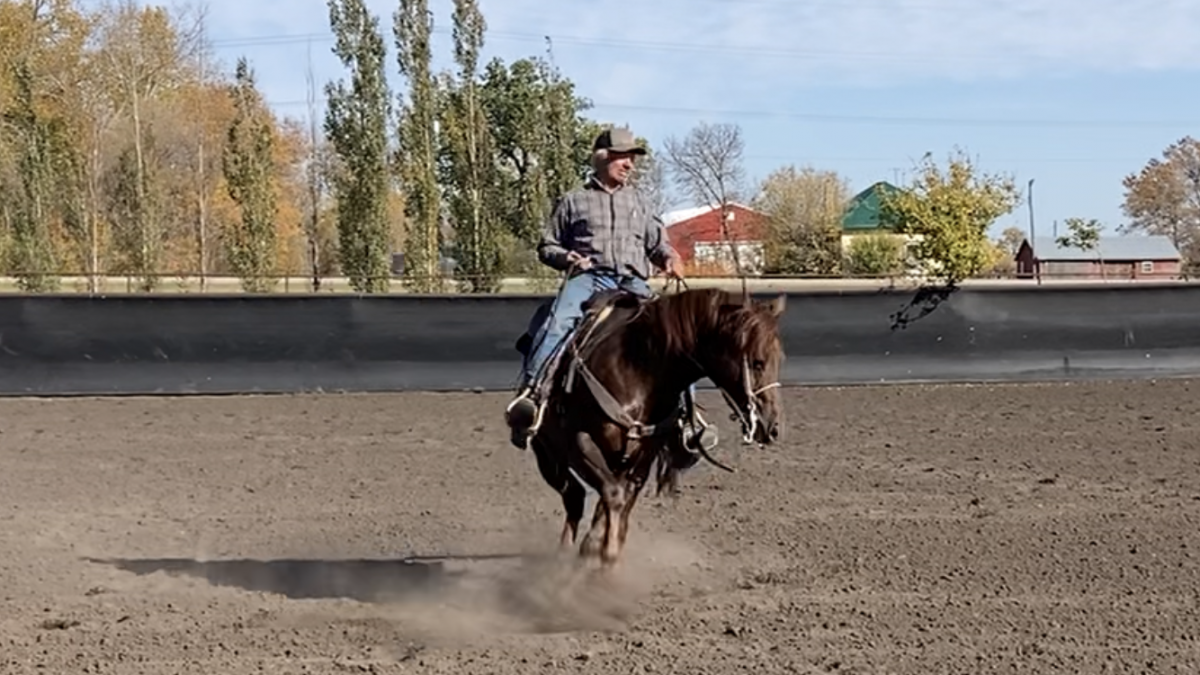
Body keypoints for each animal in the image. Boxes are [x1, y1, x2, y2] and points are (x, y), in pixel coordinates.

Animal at [522, 286, 788, 570]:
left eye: (779, 360)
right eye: (758, 362)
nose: (772, 426)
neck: (636, 370)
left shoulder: (642, 457)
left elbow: (623, 500)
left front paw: (600, 548)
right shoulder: (581, 441)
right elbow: (613, 495)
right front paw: (605, 553)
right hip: (548, 454)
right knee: (574, 496)